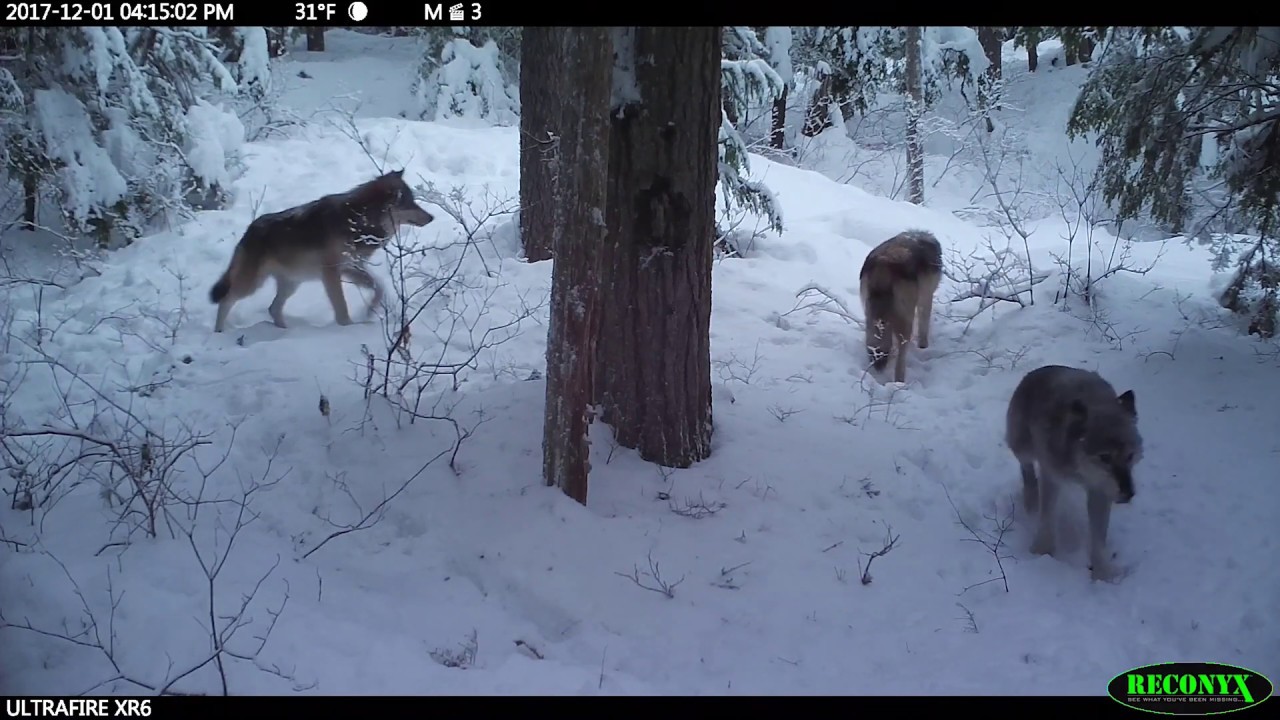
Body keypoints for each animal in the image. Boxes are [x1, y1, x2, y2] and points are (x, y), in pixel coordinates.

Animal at [209, 169, 434, 333]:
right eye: (410, 203)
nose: (431, 217)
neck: (357, 221)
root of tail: (249, 230)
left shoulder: (350, 267)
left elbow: (379, 287)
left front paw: (369, 312)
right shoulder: (331, 272)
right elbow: (341, 307)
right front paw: (348, 328)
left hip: (292, 283)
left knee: (273, 308)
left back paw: (284, 332)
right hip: (253, 284)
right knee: (226, 300)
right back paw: (220, 332)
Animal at [858, 229, 943, 383]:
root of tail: (883, 266)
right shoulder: (926, 298)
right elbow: (924, 325)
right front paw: (923, 346)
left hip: (870, 315)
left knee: (873, 341)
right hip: (905, 321)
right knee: (902, 353)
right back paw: (900, 382)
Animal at [1005, 365, 1143, 582]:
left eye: (1130, 456)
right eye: (1105, 457)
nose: (1129, 493)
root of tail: (1035, 372)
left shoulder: (1099, 491)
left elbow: (1098, 539)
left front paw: (1102, 573)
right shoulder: (1051, 476)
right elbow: (1047, 517)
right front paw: (1042, 551)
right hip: (1023, 447)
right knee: (1027, 470)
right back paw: (1031, 500)